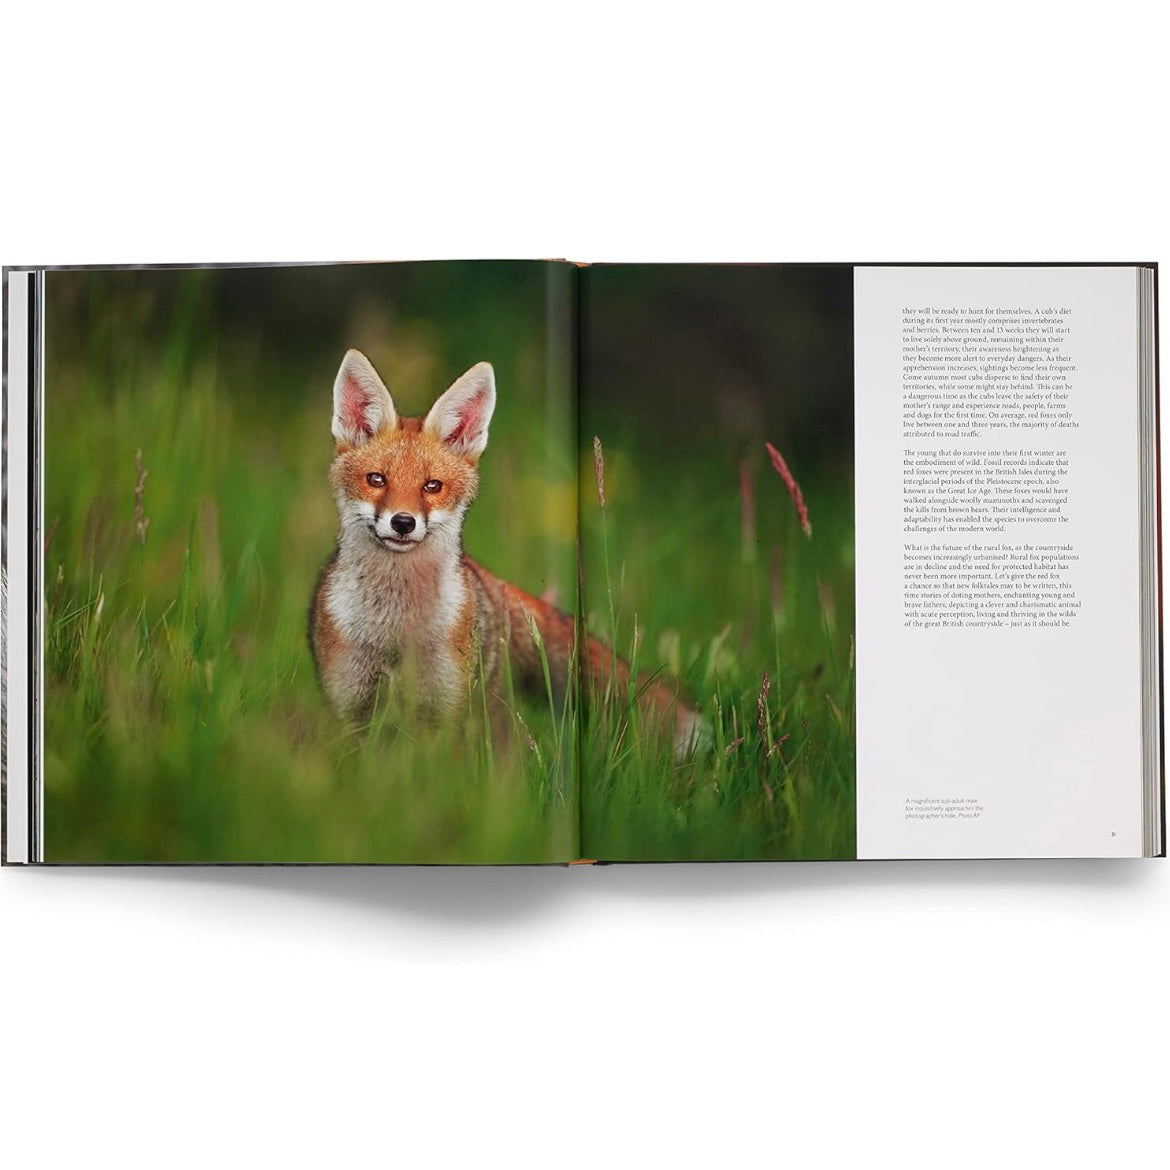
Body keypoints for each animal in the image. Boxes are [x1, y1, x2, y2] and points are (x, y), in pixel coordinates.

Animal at [309, 349, 702, 757]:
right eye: (376, 480)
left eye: (432, 486)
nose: (403, 522)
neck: (394, 630)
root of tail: (490, 581)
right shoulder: (352, 707)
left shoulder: (443, 712)